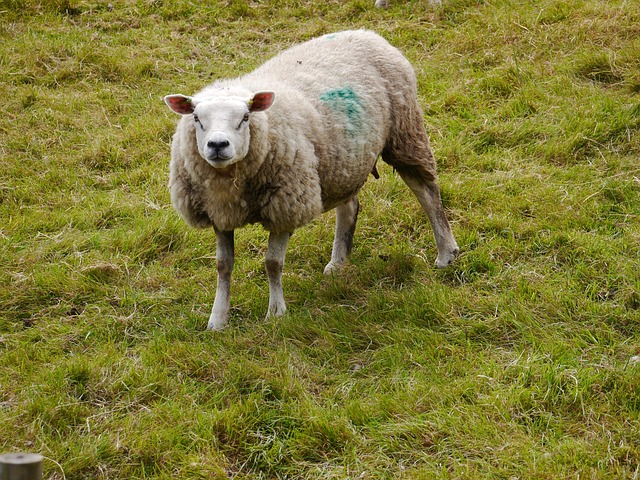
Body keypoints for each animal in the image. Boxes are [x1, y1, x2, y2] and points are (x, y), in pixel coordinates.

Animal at [164, 30, 458, 331]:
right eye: (196, 118)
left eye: (245, 117)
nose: (217, 145)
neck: (229, 184)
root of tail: (367, 33)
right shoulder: (219, 213)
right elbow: (223, 265)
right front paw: (217, 319)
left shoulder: (286, 204)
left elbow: (272, 263)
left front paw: (276, 312)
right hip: (342, 161)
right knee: (349, 206)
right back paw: (338, 262)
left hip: (405, 130)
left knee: (426, 192)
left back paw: (446, 253)